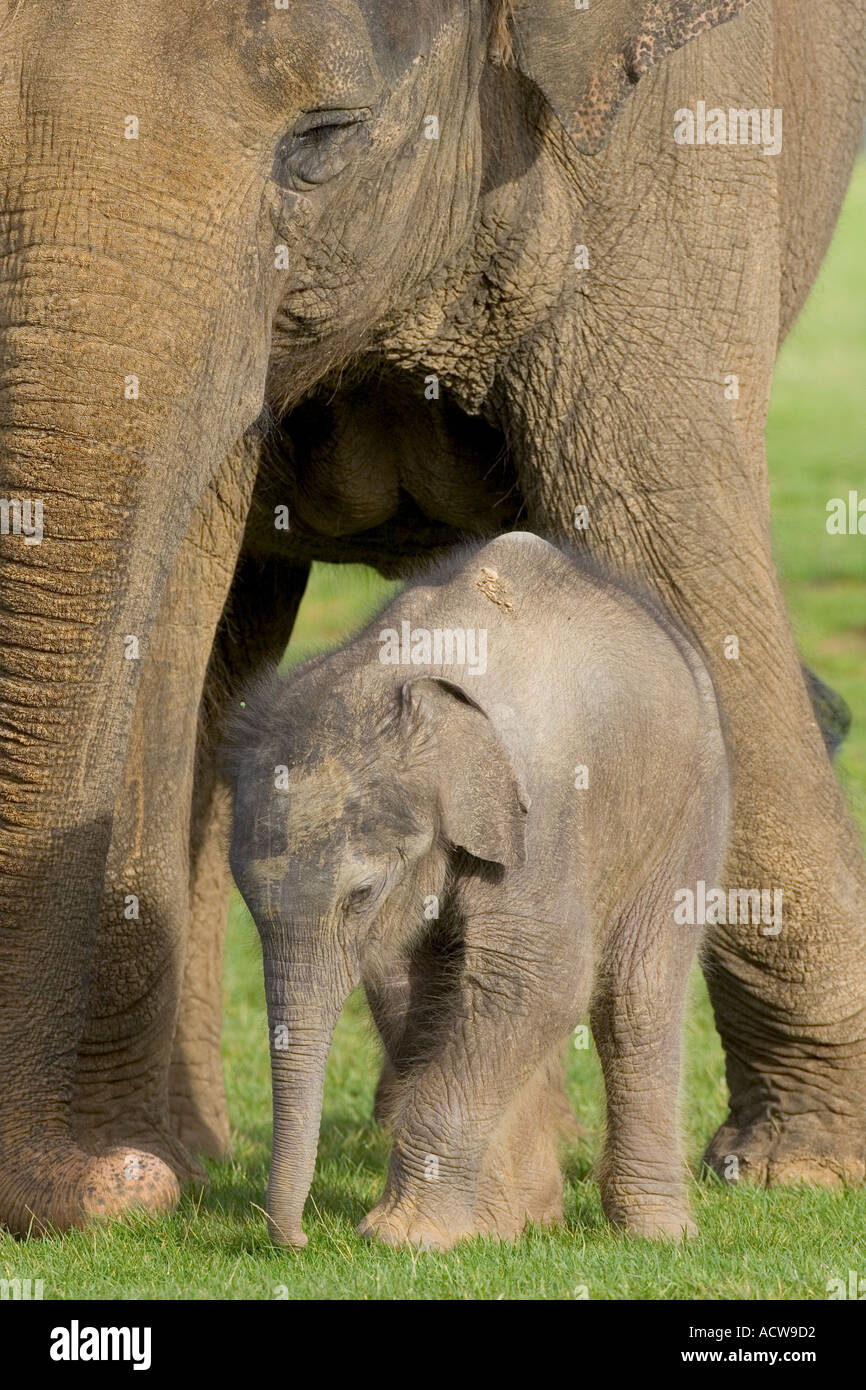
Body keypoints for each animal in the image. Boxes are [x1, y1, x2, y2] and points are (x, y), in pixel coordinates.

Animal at [227, 532, 731, 1248]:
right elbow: (418, 994)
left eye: (362, 893)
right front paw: (481, 1231)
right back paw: (527, 1220)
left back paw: (656, 1234)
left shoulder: (542, 820)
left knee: (639, 992)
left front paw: (399, 1237)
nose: (296, 1241)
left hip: (691, 800)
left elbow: (539, 980)